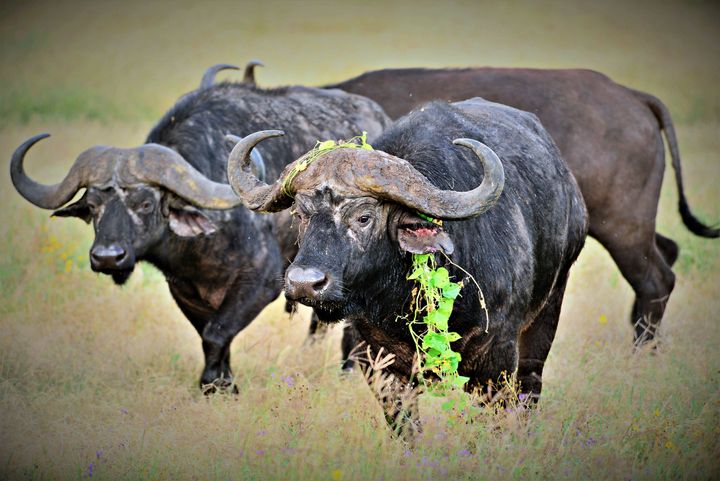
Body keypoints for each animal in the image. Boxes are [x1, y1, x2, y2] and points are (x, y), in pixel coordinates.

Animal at [10, 64, 390, 391]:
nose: (107, 257)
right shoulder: (182, 288)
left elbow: (216, 333)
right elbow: (209, 335)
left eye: (145, 203)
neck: (203, 244)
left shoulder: (261, 282)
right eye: (92, 207)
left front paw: (215, 384)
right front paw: (221, 383)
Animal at [225, 98, 588, 434]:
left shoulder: (495, 360)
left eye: (364, 217)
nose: (304, 283)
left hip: (548, 309)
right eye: (300, 214)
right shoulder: (379, 364)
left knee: (530, 387)